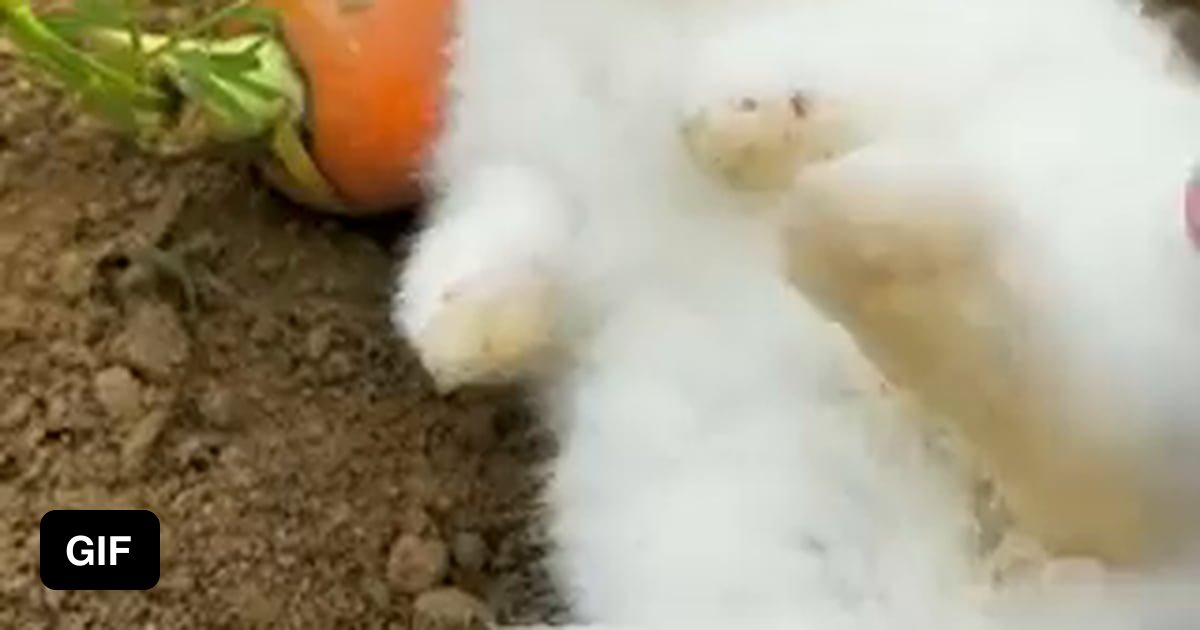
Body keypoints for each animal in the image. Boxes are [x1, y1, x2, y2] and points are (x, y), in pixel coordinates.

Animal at [394, 0, 1200, 627]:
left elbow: (824, 68)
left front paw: (731, 118)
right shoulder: (518, 170)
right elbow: (509, 224)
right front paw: (461, 333)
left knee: (1095, 454)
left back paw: (861, 230)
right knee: (1090, 468)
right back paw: (871, 246)